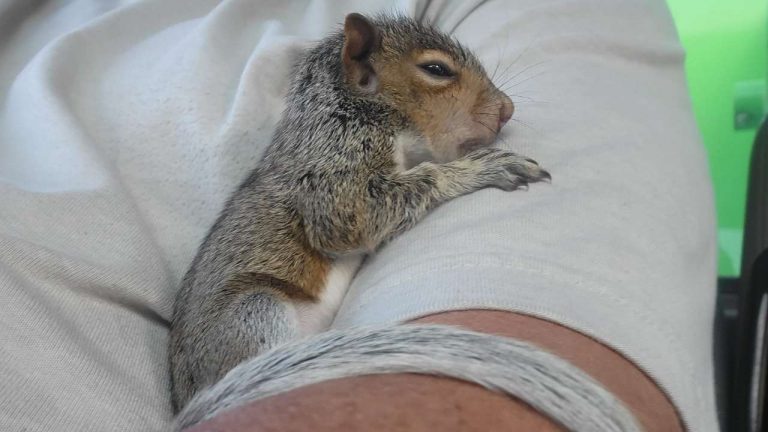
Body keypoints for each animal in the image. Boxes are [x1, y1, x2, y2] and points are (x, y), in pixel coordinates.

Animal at [169, 12, 550, 414]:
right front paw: (481, 168)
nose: (507, 109)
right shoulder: (334, 162)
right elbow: (355, 214)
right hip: (252, 314)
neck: (354, 109)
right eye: (436, 69)